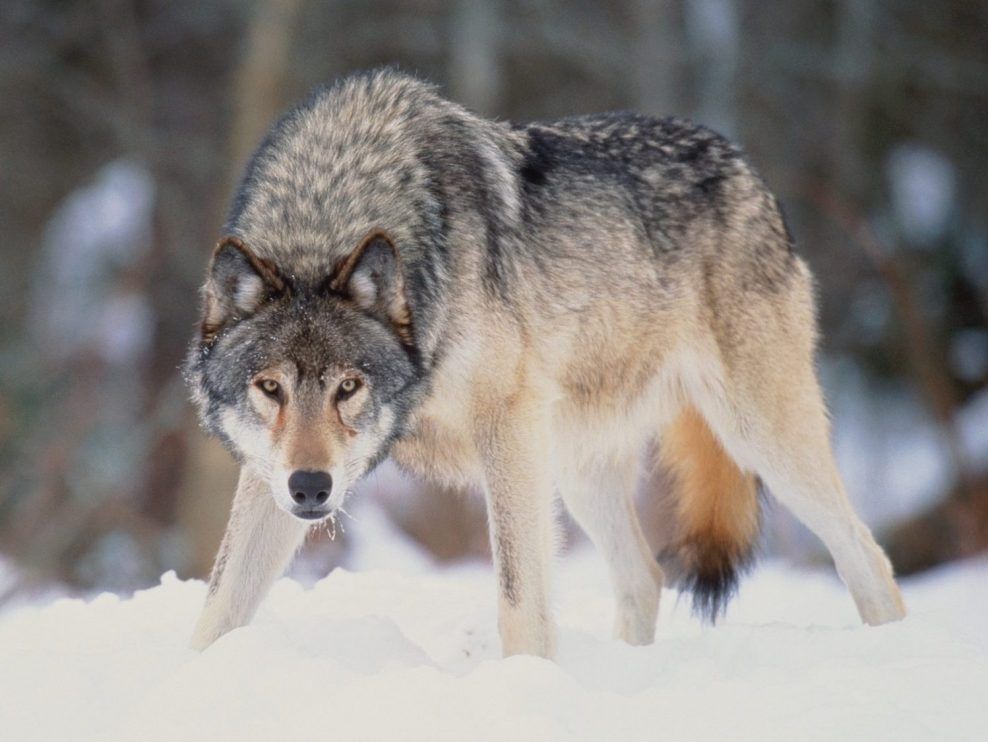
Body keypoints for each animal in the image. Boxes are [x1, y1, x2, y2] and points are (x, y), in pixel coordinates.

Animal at [184, 69, 905, 657]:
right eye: (270, 388)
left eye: (349, 387)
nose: (311, 488)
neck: (332, 206)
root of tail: (743, 162)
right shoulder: (268, 474)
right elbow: (218, 605)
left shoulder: (506, 429)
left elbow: (518, 599)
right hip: (577, 468)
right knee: (644, 578)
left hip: (758, 438)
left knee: (868, 557)